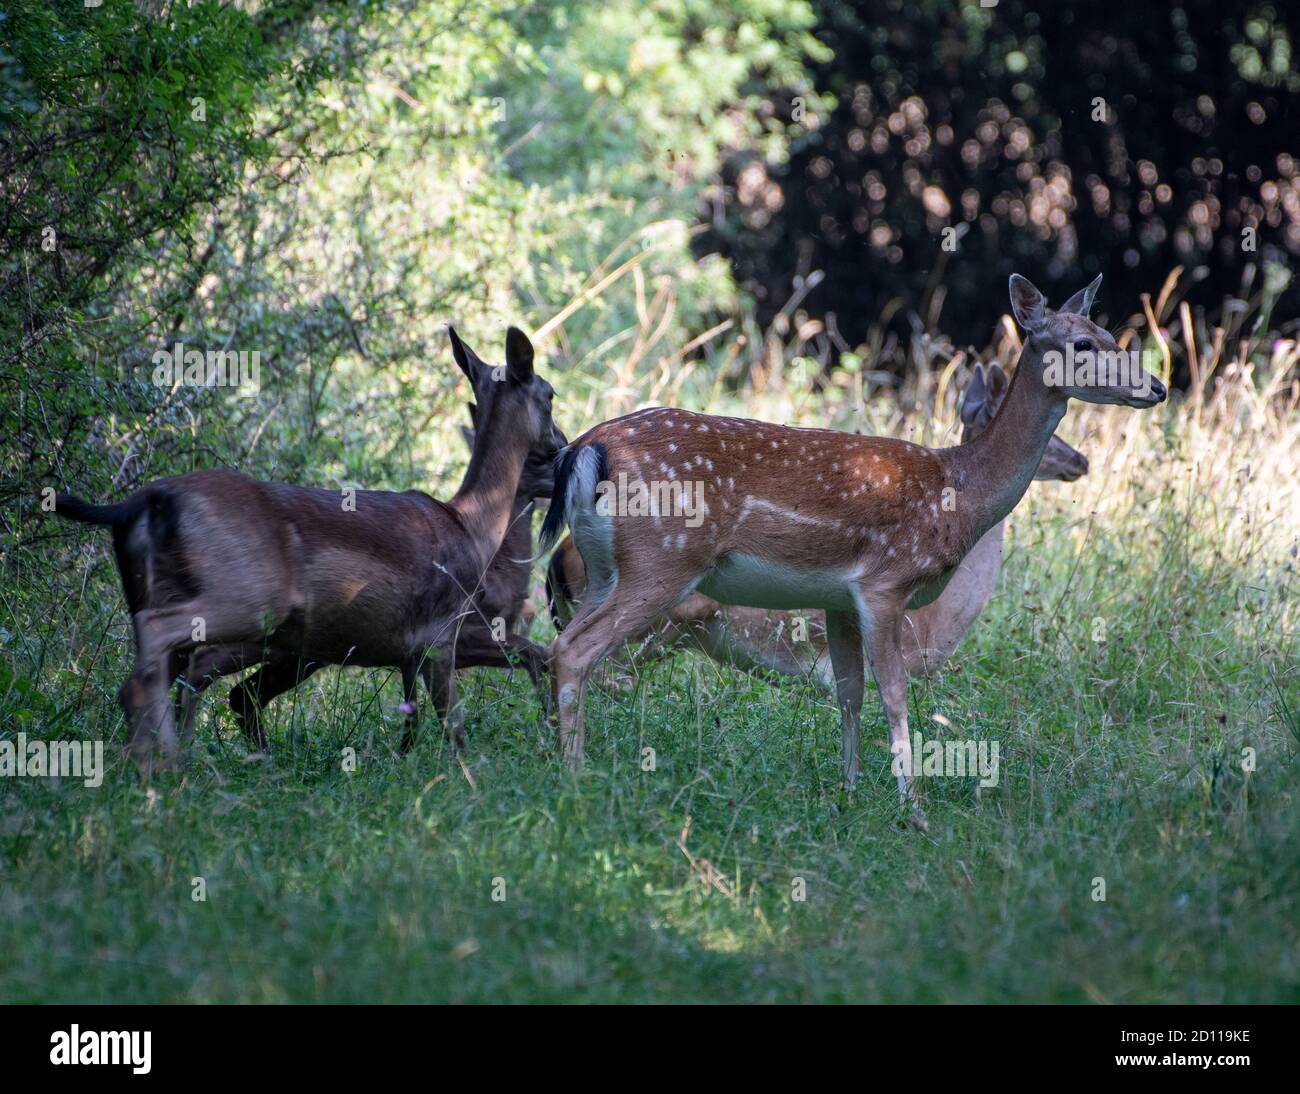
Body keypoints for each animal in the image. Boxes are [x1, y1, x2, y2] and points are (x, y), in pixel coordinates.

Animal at [52, 326, 564, 769]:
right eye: (551, 394)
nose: (562, 446)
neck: (473, 528)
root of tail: (139, 502)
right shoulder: (439, 633)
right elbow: (454, 725)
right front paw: (473, 777)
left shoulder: (409, 648)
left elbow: (417, 717)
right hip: (249, 598)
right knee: (170, 653)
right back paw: (172, 766)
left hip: (168, 592)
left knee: (171, 669)